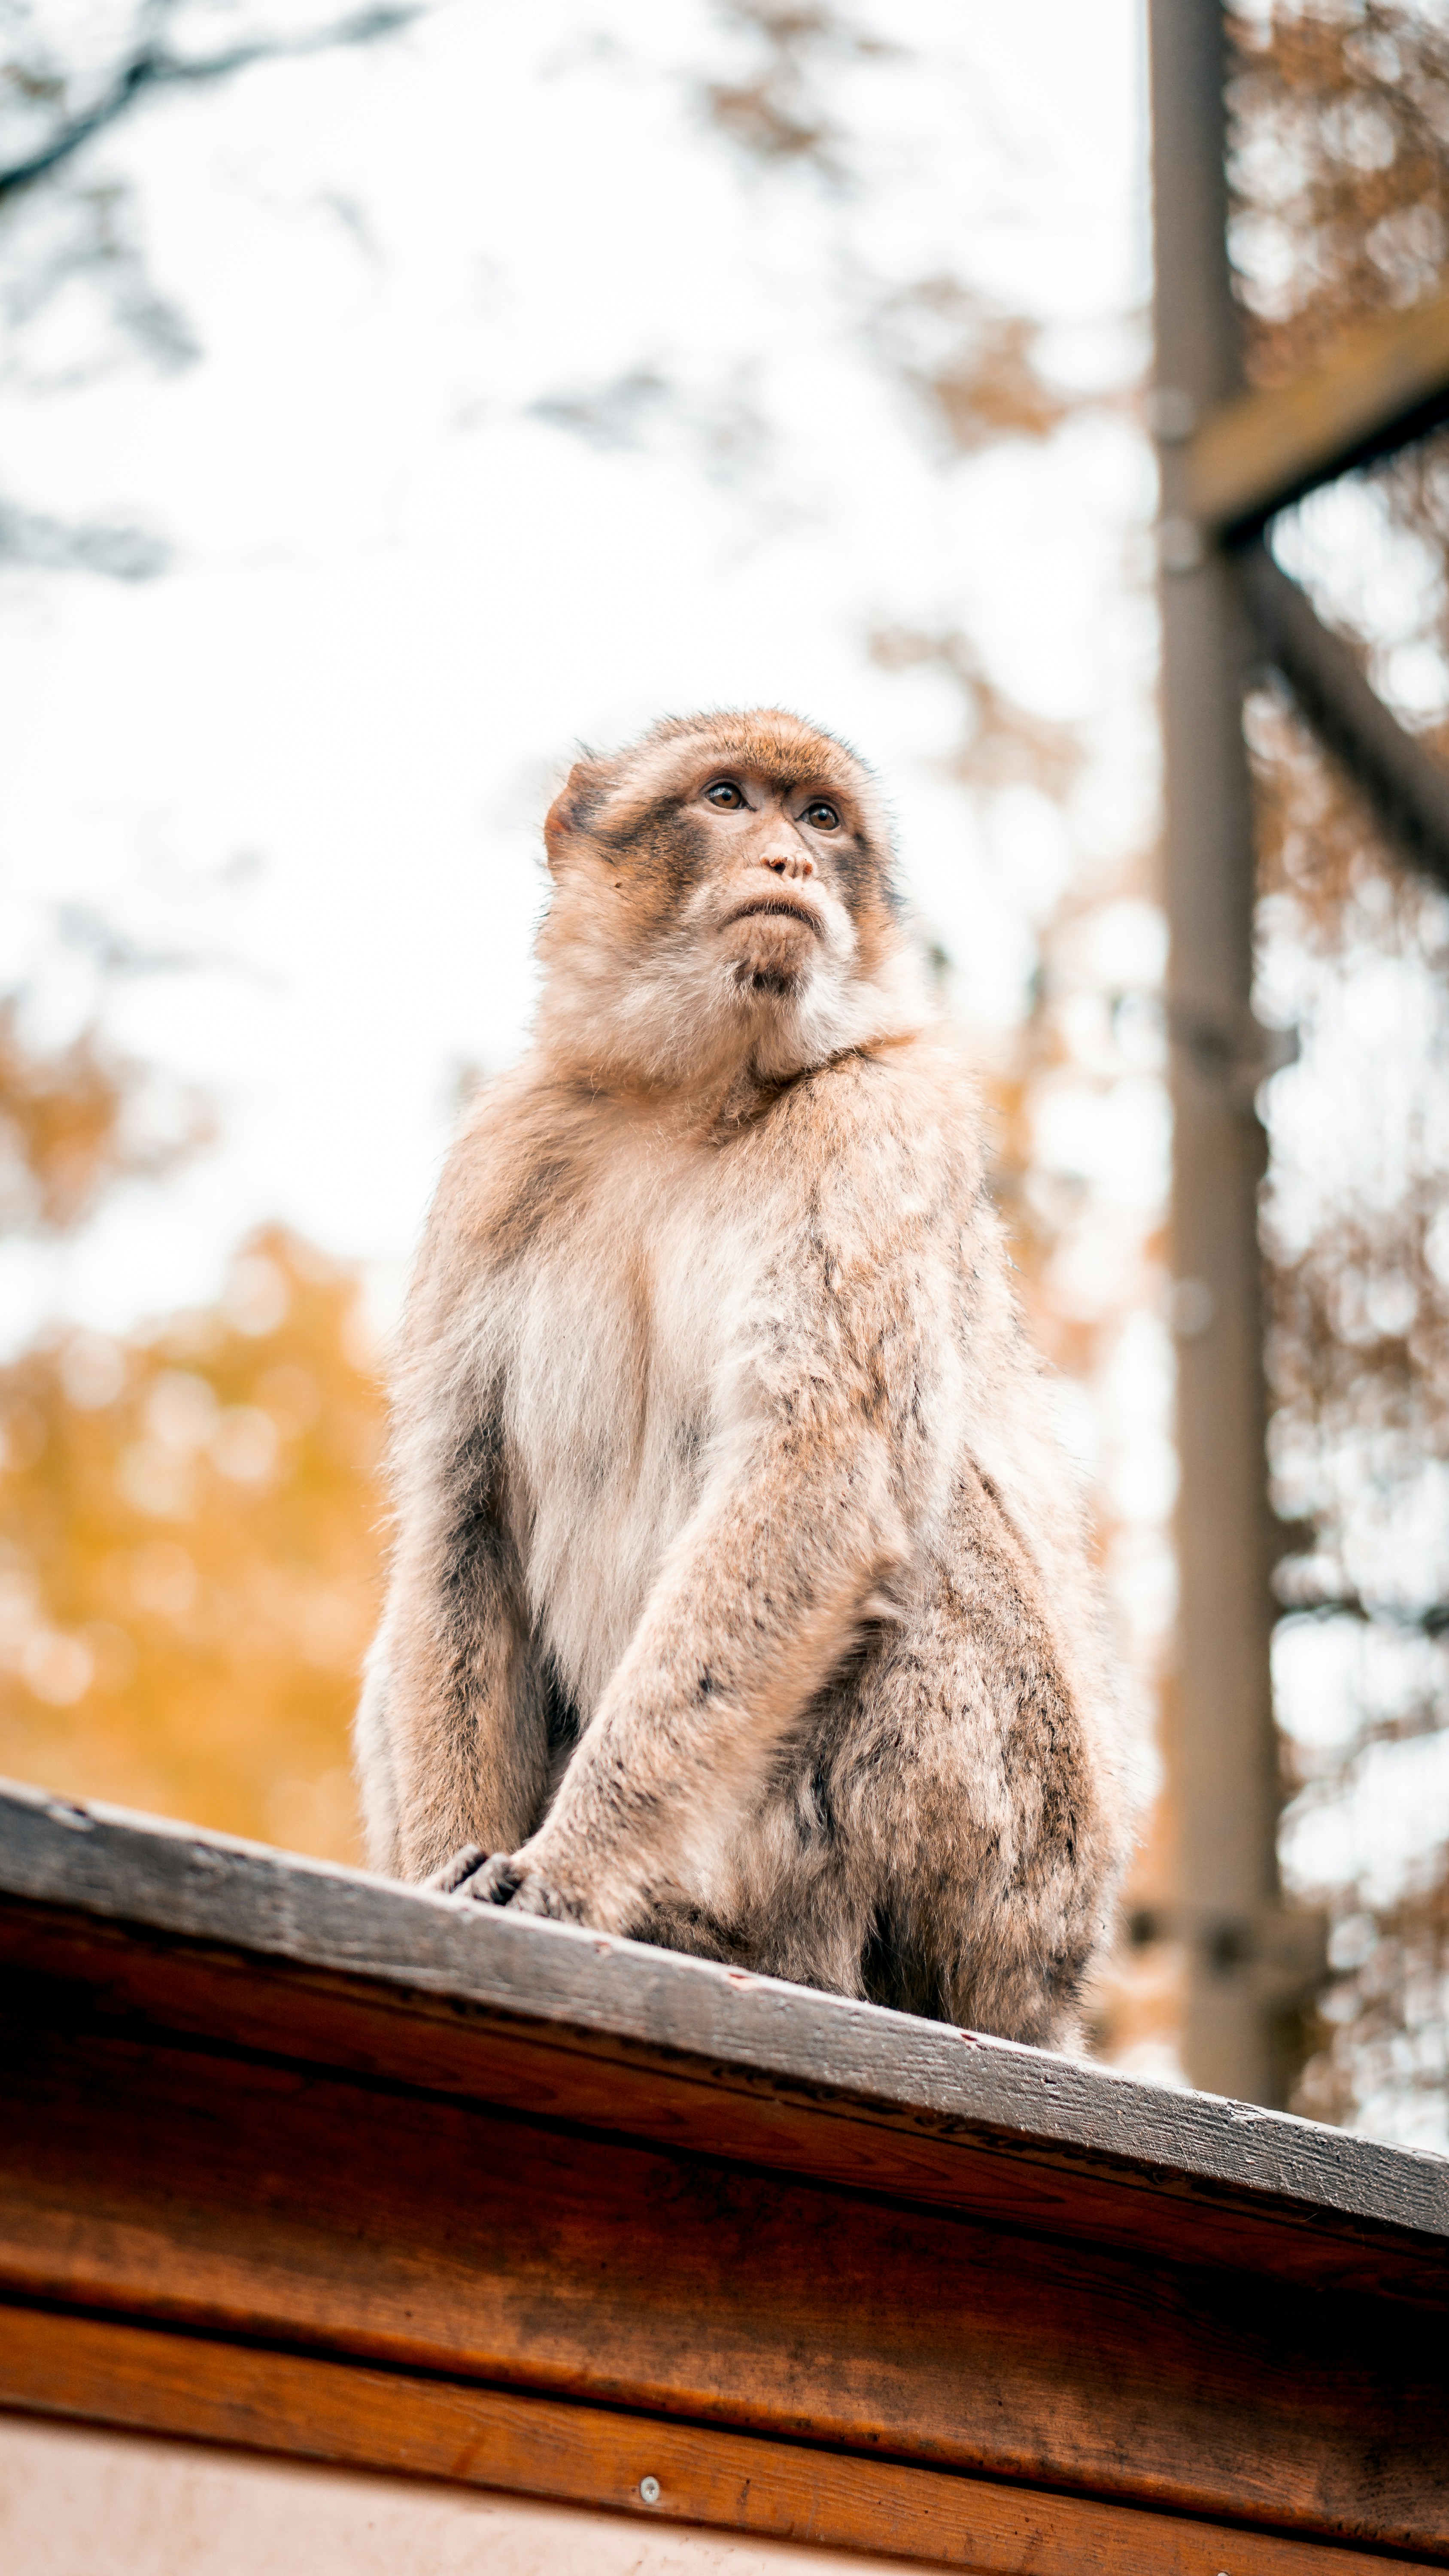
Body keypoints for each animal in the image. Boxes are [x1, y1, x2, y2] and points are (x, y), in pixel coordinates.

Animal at [355, 707, 1131, 2048]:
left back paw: (760, 1949)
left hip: (1021, 1895)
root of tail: (1046, 2011)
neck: (688, 1093)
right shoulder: (495, 1160)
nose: (789, 861)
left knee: (923, 1531)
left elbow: (817, 1475)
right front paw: (449, 1872)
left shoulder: (880, 1121)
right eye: (727, 798)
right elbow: (460, 1522)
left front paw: (572, 1871)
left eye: (820, 818)